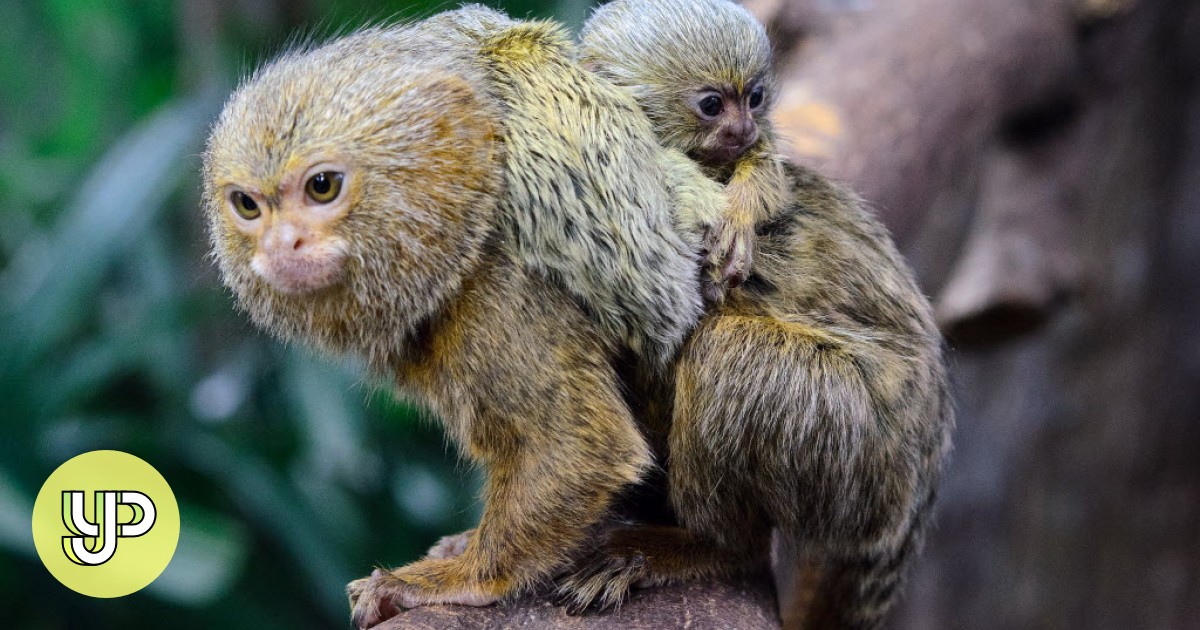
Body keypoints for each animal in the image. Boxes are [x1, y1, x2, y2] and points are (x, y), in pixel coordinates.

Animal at [201, 7, 733, 628]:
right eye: (248, 205)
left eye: (322, 187)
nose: (281, 245)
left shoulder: (502, 295)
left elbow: (582, 449)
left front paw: (456, 578)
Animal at [554, 1, 955, 628]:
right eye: (711, 105)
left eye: (756, 97)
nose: (742, 128)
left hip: (857, 455)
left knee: (726, 356)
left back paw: (706, 545)